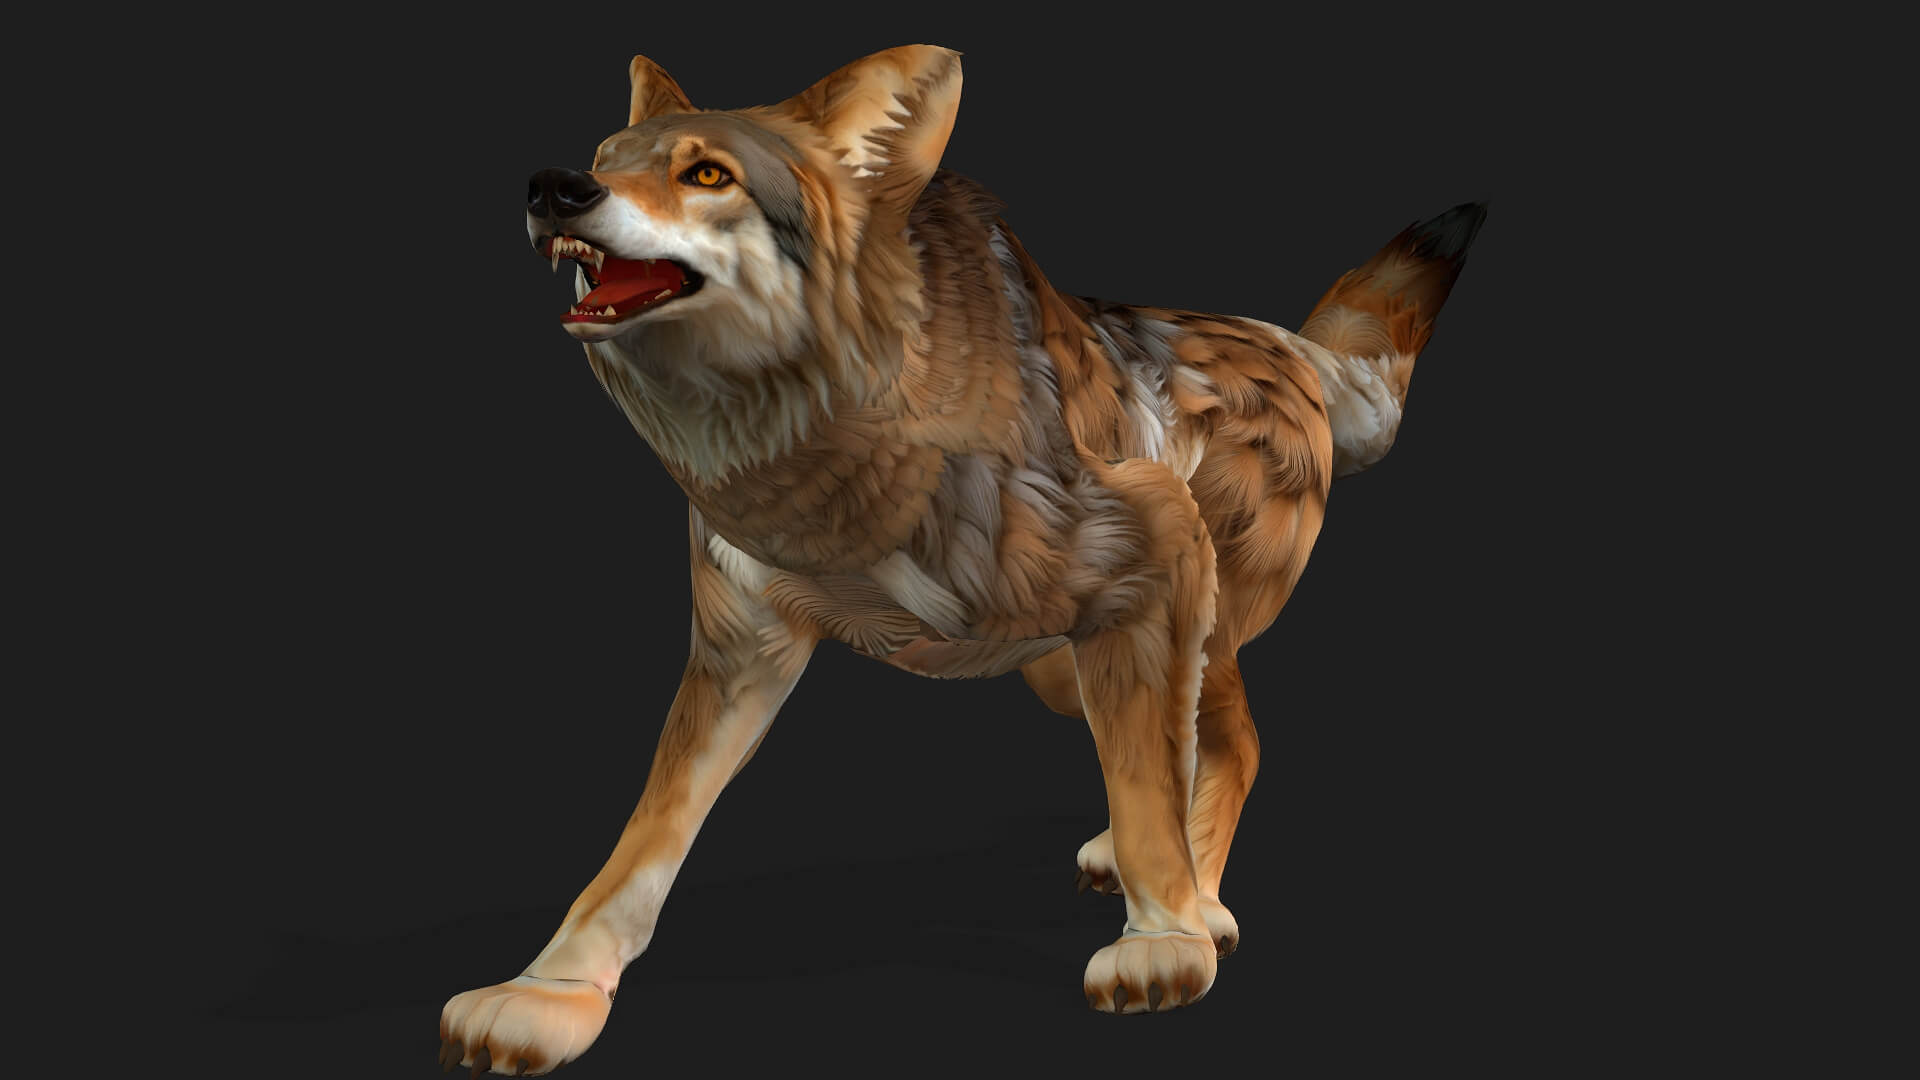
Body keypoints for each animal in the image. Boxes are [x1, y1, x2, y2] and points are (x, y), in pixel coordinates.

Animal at [439, 44, 1484, 1074]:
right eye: (605, 157)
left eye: (706, 175)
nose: (554, 187)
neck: (828, 452)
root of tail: (1290, 348)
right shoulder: (741, 655)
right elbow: (640, 844)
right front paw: (549, 993)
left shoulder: (1156, 547)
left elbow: (1151, 790)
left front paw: (1165, 943)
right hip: (1065, 671)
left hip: (1192, 617)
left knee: (1232, 742)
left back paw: (1203, 903)